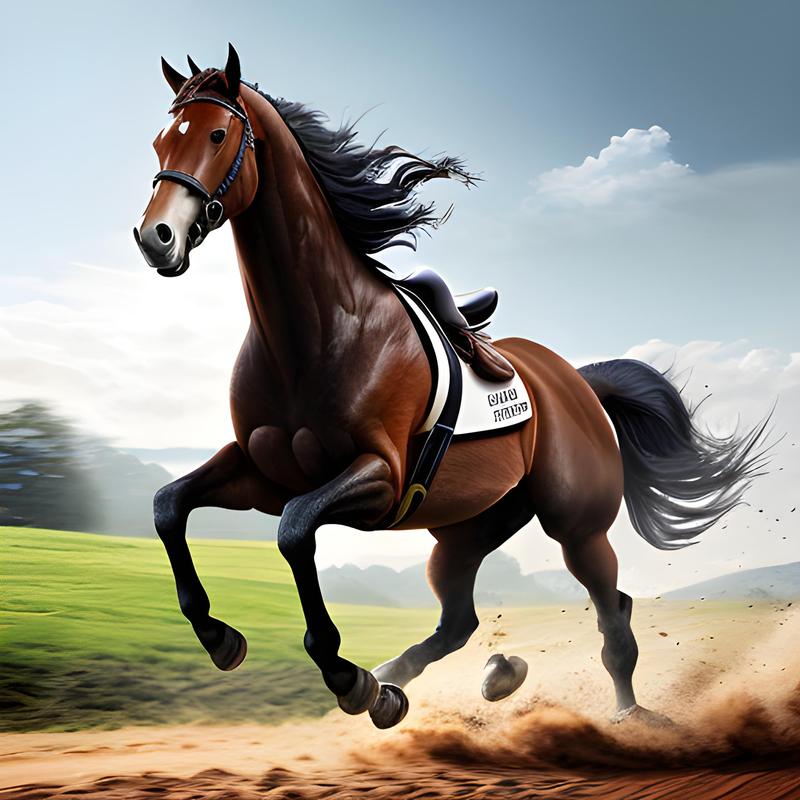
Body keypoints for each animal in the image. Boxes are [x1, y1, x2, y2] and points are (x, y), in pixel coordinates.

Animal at [134, 45, 769, 729]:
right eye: (161, 142)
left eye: (217, 135)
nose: (156, 239)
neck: (315, 330)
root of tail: (577, 379)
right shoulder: (264, 473)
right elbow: (169, 505)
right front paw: (220, 637)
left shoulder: (377, 477)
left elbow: (295, 531)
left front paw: (344, 675)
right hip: (464, 532)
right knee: (463, 621)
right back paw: (409, 684)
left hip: (577, 528)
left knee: (611, 613)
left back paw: (623, 716)